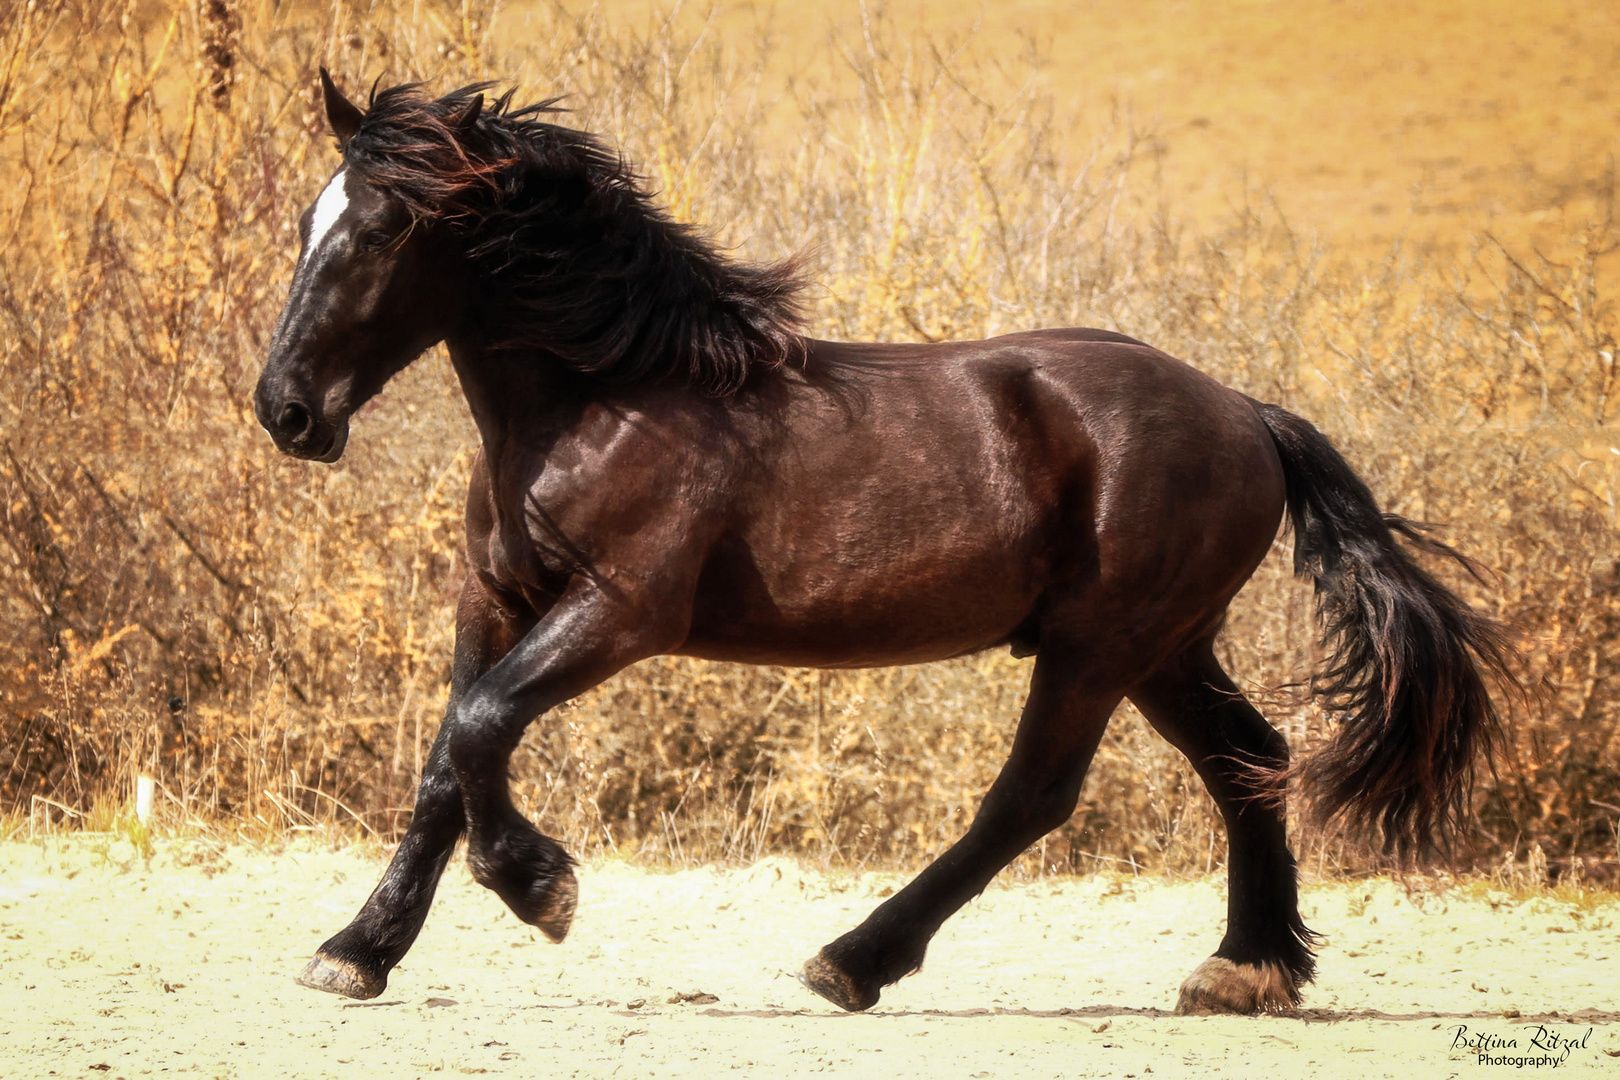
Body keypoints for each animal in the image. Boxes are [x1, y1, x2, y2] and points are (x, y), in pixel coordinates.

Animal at [254, 70, 1514, 1016]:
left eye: (386, 226)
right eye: (310, 219)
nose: (287, 412)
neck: (603, 399)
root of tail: (1249, 413)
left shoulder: (619, 611)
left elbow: (477, 729)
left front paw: (544, 890)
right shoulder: (498, 600)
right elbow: (445, 762)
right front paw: (354, 952)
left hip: (1102, 645)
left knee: (1033, 796)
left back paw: (852, 962)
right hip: (1167, 648)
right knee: (1246, 760)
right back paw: (1245, 972)